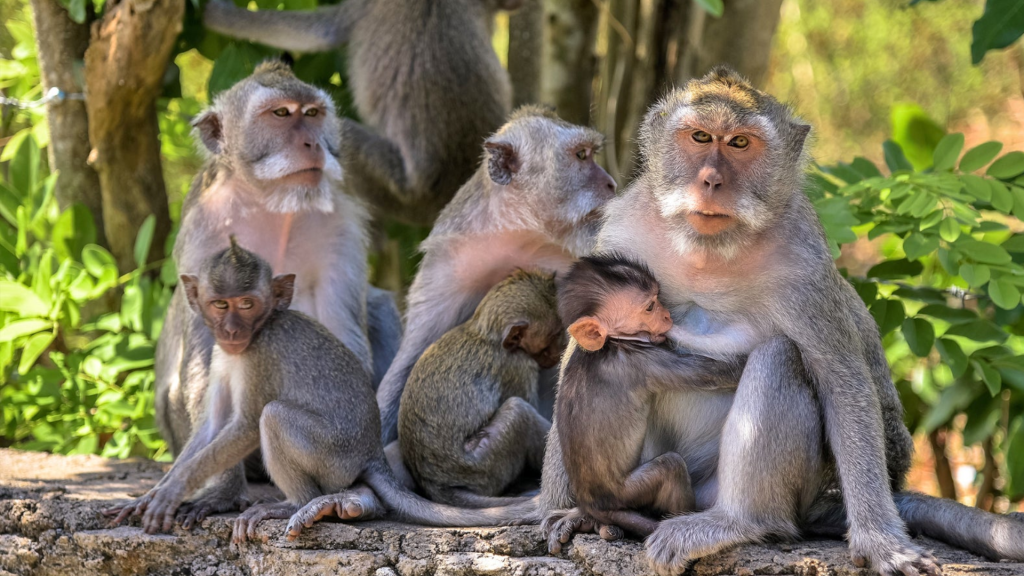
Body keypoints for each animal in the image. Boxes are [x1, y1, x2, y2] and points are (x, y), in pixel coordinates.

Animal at [107, 240, 535, 540]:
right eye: (219, 304)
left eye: (246, 304)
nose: (231, 331)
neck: (255, 333)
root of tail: (371, 453)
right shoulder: (223, 355)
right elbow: (211, 427)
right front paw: (158, 491)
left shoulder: (260, 355)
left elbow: (245, 425)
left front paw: (173, 492)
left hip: (335, 458)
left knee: (273, 416)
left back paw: (294, 504)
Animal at [153, 61, 401, 528]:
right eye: (281, 114)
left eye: (314, 113)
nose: (312, 143)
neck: (273, 203)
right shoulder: (204, 227)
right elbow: (203, 356)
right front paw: (222, 493)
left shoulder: (340, 221)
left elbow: (344, 335)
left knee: (378, 304)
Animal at [376, 105, 618, 446]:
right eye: (581, 155)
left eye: (590, 153)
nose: (611, 183)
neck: (521, 233)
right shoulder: (448, 265)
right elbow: (414, 356)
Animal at [398, 269, 564, 508]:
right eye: (554, 336)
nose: (558, 353)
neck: (486, 334)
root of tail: (434, 483)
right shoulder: (517, 365)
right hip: (483, 465)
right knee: (518, 411)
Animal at [551, 254, 743, 539]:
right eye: (650, 307)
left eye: (657, 299)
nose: (667, 315)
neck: (610, 343)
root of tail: (591, 502)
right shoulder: (645, 361)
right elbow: (713, 374)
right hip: (626, 492)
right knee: (670, 466)